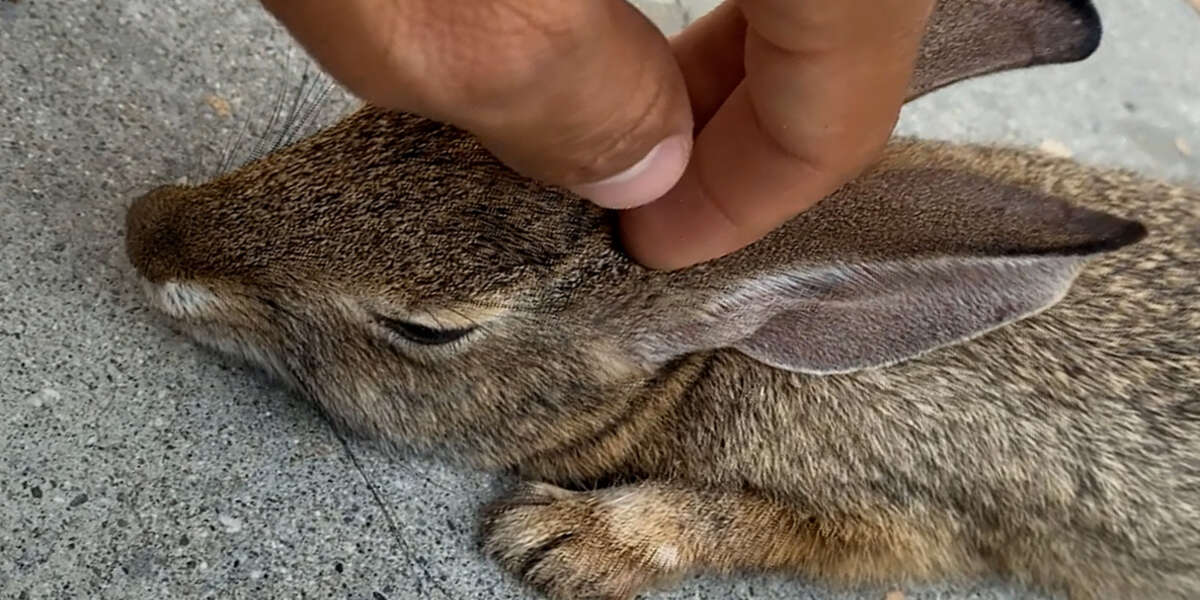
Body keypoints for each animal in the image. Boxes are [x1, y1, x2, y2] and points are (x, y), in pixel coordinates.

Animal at [123, 0, 1200, 599]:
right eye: (385, 119)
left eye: (426, 331)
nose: (145, 233)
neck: (710, 362)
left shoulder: (908, 510)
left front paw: (566, 542)